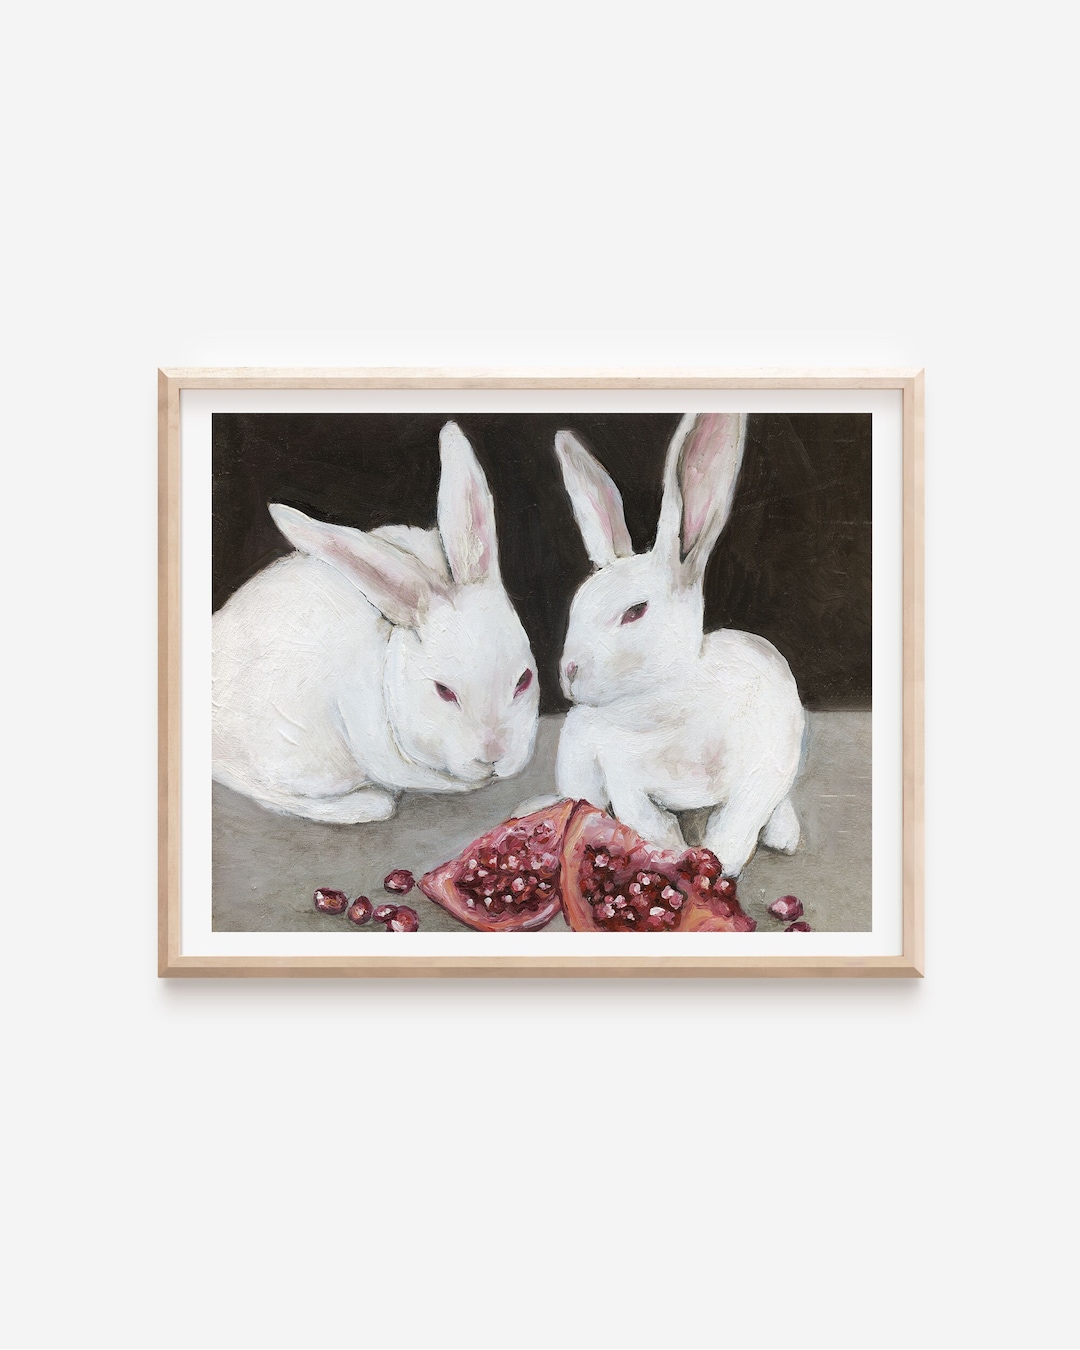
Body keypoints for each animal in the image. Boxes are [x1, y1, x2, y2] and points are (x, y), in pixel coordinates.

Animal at [552, 413, 806, 878]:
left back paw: (784, 834)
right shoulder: (624, 777)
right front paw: (669, 857)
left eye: (635, 611)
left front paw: (717, 866)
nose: (569, 672)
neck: (670, 710)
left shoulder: (763, 771)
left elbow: (735, 825)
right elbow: (649, 822)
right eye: (576, 607)